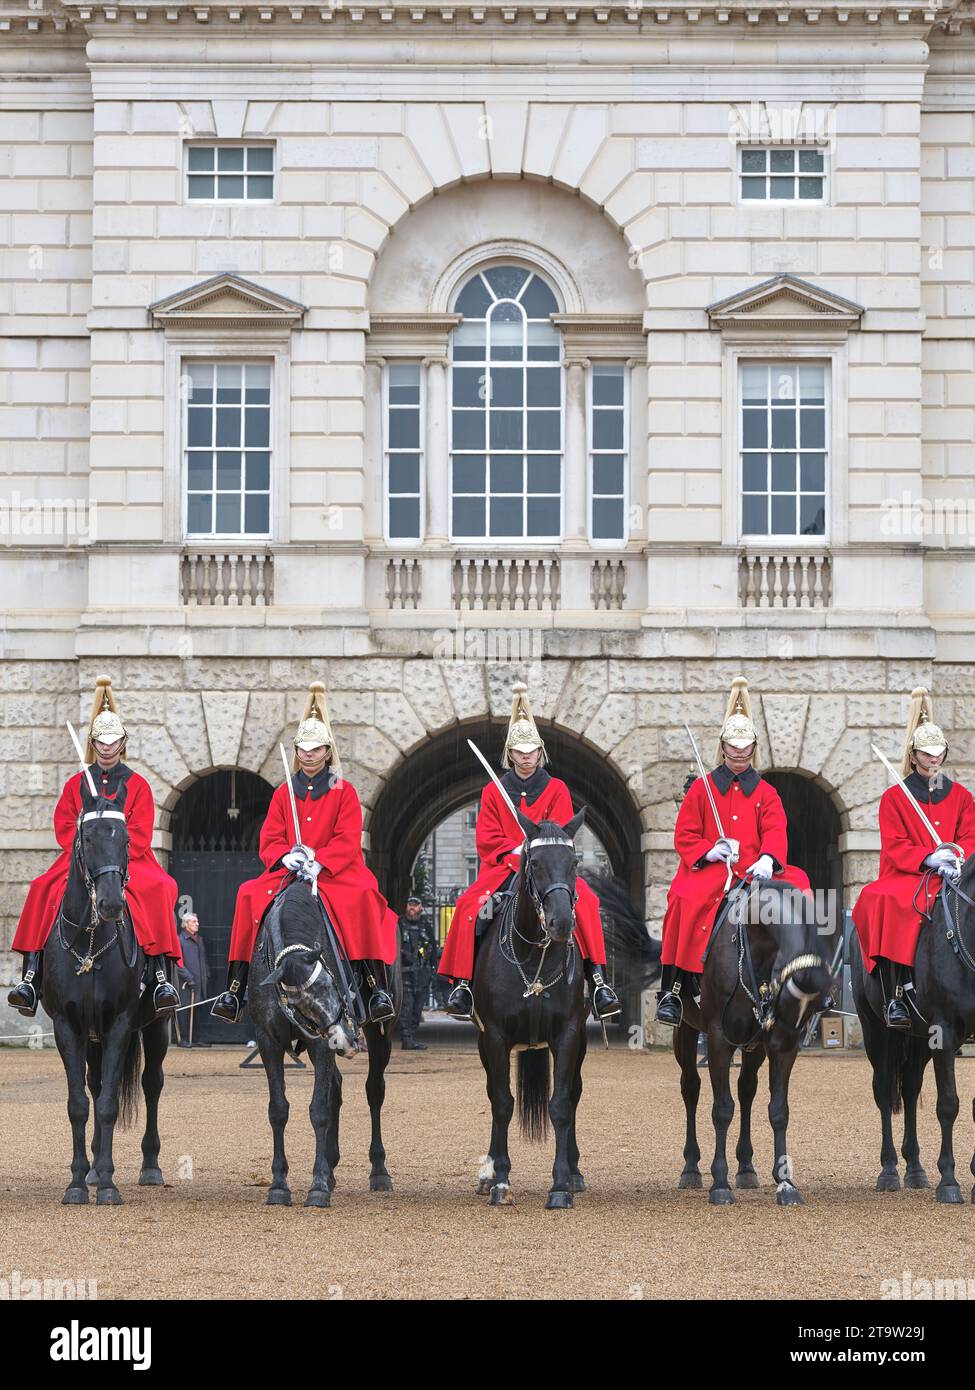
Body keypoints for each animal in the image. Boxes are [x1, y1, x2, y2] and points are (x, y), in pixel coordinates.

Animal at [43, 778, 170, 1206]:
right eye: (86, 837)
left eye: (126, 839)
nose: (112, 903)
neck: (90, 940)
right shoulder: (67, 1026)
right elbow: (80, 1104)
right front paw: (79, 1182)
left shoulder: (119, 1025)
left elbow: (110, 1104)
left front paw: (110, 1186)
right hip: (92, 1036)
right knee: (95, 1085)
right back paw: (96, 1167)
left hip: (157, 1027)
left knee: (151, 1084)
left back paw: (149, 1165)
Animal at [247, 876, 402, 1207]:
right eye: (299, 1004)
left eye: (331, 983)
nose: (345, 1039)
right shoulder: (269, 1041)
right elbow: (278, 1109)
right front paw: (279, 1185)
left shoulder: (320, 1045)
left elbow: (318, 1109)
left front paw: (317, 1187)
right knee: (337, 1089)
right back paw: (331, 1167)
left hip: (381, 1032)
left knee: (374, 1091)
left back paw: (378, 1171)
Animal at [472, 808, 594, 1210]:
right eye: (536, 863)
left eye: (574, 863)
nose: (562, 923)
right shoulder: (494, 1037)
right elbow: (502, 1102)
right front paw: (500, 1180)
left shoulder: (569, 1034)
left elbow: (560, 1105)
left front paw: (561, 1184)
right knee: (494, 1093)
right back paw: (488, 1173)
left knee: (573, 1095)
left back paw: (575, 1172)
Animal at [672, 877, 834, 1206]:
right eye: (788, 999)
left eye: (810, 1010)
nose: (783, 1037)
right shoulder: (718, 1040)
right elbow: (722, 1109)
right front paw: (720, 1183)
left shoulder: (780, 1048)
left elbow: (778, 1109)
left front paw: (785, 1183)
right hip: (686, 1031)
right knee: (691, 1088)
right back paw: (691, 1168)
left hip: (754, 1047)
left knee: (746, 1090)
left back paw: (746, 1167)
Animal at [852, 860, 975, 1203]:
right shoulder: (945, 1033)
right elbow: (948, 1104)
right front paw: (949, 1182)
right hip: (875, 1029)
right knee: (883, 1090)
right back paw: (890, 1170)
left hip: (919, 1040)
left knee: (909, 1090)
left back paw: (915, 1168)